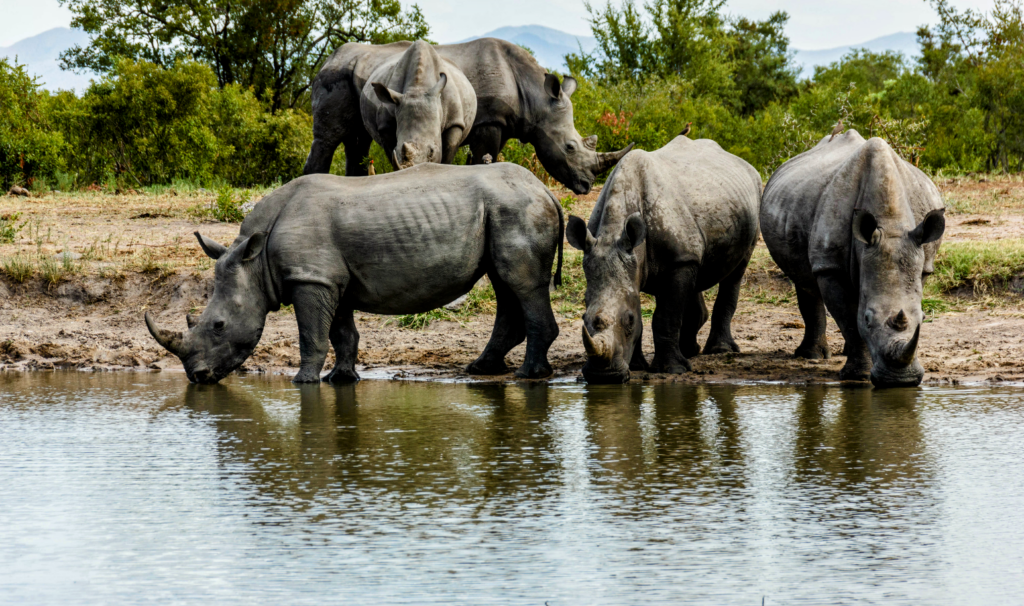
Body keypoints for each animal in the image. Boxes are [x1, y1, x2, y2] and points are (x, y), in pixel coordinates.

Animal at [145, 163, 564, 384]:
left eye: (218, 325)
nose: (196, 376)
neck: (255, 261)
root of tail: (545, 189)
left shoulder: (309, 278)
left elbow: (311, 334)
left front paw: (304, 382)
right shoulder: (329, 279)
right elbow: (342, 332)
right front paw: (342, 379)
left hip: (516, 208)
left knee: (521, 284)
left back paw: (529, 375)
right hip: (506, 210)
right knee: (504, 283)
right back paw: (481, 368)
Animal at [360, 40, 476, 170]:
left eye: (431, 152)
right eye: (397, 149)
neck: (417, 89)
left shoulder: (454, 122)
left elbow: (447, 155)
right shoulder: (385, 126)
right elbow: (391, 153)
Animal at [566, 137, 762, 384]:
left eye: (629, 320)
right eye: (583, 317)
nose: (603, 377)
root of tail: (742, 162)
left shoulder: (679, 261)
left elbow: (665, 316)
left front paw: (672, 370)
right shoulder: (637, 265)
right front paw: (637, 366)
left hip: (754, 199)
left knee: (735, 273)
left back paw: (719, 351)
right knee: (695, 276)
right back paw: (689, 351)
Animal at [761, 131, 945, 387]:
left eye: (925, 318)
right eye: (868, 319)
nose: (901, 381)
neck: (891, 223)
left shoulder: (921, 261)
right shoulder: (831, 266)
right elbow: (849, 318)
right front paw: (858, 376)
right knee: (804, 279)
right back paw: (812, 356)